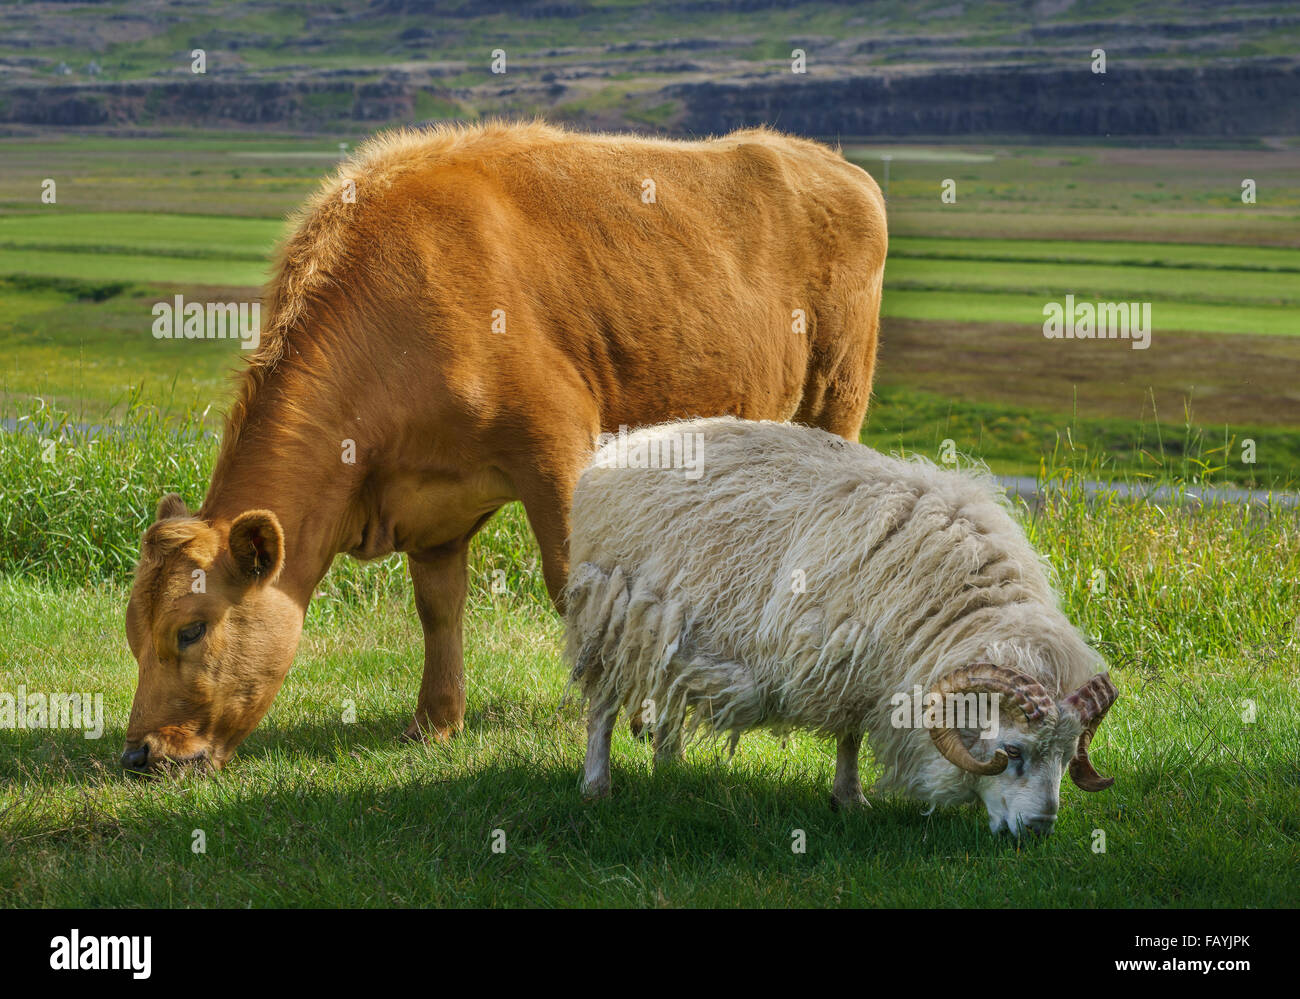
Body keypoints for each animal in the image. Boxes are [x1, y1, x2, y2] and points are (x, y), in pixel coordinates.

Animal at [563, 417, 1118, 836]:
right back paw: (595, 788)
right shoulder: (851, 656)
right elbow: (850, 734)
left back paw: (669, 767)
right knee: (602, 707)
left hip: (668, 633)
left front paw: (849, 800)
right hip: (611, 616)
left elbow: (850, 734)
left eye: (1067, 758)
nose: (1040, 830)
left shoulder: (864, 667)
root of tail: (619, 446)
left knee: (669, 695)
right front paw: (850, 796)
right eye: (1013, 751)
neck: (958, 605)